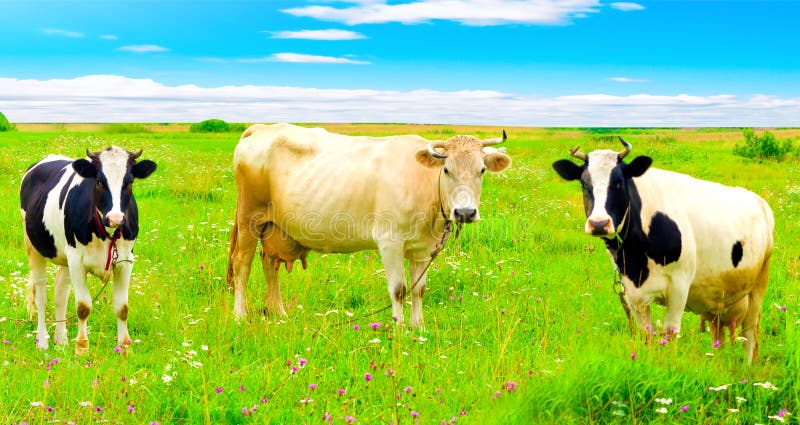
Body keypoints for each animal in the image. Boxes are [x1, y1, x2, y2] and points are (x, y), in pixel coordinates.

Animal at [20, 146, 157, 354]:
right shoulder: (77, 260)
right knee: (41, 294)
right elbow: (83, 307)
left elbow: (122, 307)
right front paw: (82, 348)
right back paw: (43, 341)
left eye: (130, 181)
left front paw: (125, 347)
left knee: (60, 293)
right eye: (99, 181)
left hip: (65, 256)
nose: (116, 218)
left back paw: (61, 340)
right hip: (34, 246)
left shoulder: (126, 261)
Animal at [227, 123, 511, 327]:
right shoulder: (390, 241)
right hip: (249, 218)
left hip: (274, 226)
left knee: (268, 263)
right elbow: (399, 290)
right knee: (242, 263)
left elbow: (419, 290)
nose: (465, 212)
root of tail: (262, 128)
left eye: (482, 170)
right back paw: (240, 315)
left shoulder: (423, 249)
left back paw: (279, 312)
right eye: (446, 170)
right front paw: (398, 329)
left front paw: (418, 329)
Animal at [552, 138, 773, 363]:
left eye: (619, 182)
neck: (636, 258)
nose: (598, 223)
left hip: (759, 283)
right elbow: (646, 334)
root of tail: (759, 201)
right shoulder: (633, 292)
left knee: (749, 331)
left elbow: (670, 332)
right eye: (584, 183)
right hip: (718, 295)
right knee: (717, 332)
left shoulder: (679, 285)